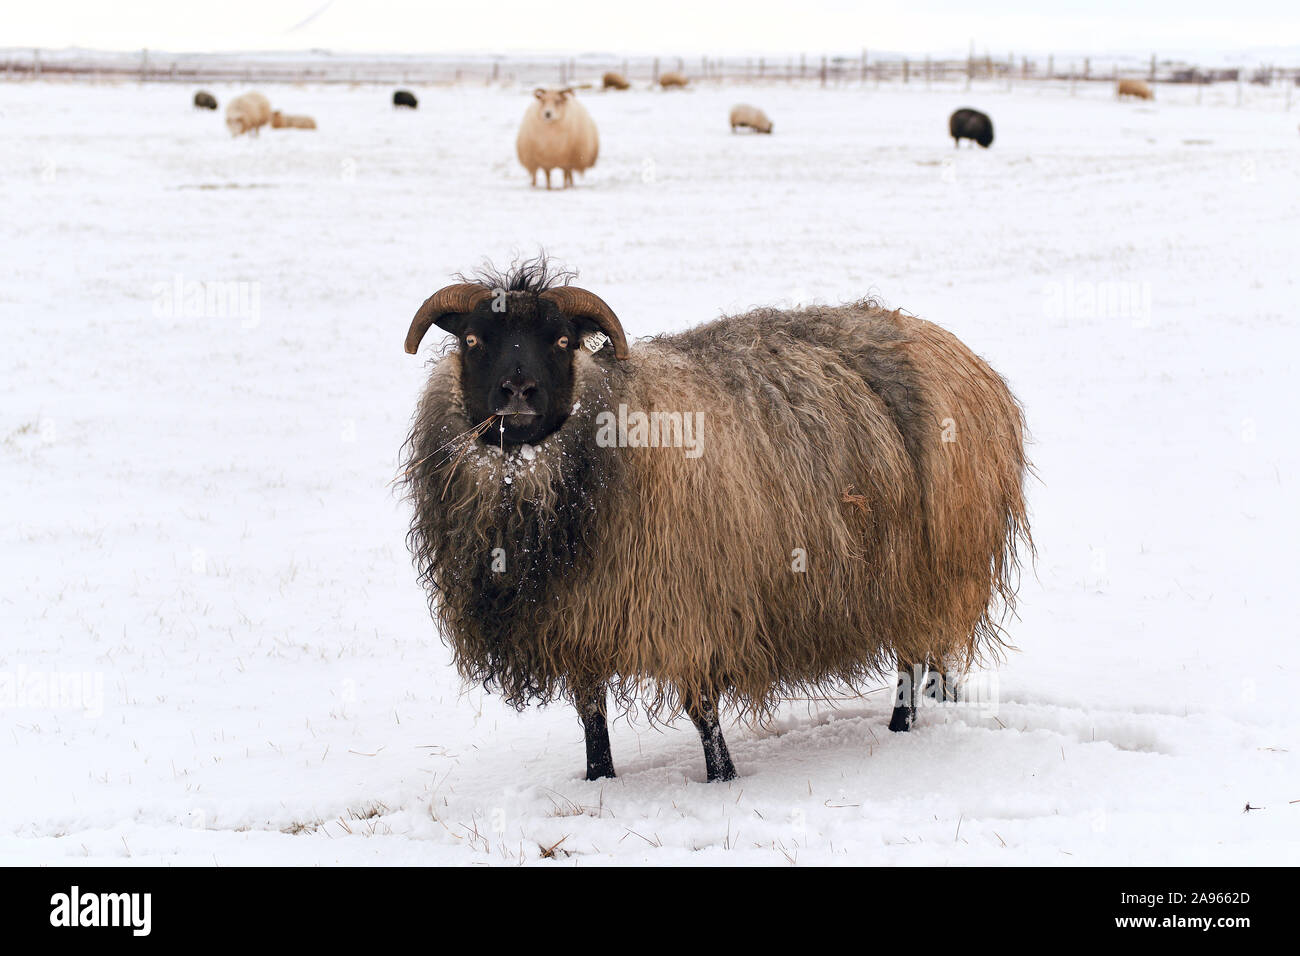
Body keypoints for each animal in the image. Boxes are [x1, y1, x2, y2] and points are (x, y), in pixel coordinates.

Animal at [400, 257, 1032, 783]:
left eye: (560, 339)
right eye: (473, 339)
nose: (518, 391)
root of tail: (954, 347)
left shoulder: (693, 604)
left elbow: (701, 708)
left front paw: (722, 778)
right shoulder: (577, 619)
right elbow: (590, 710)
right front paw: (600, 781)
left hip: (933, 564)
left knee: (911, 655)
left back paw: (900, 727)